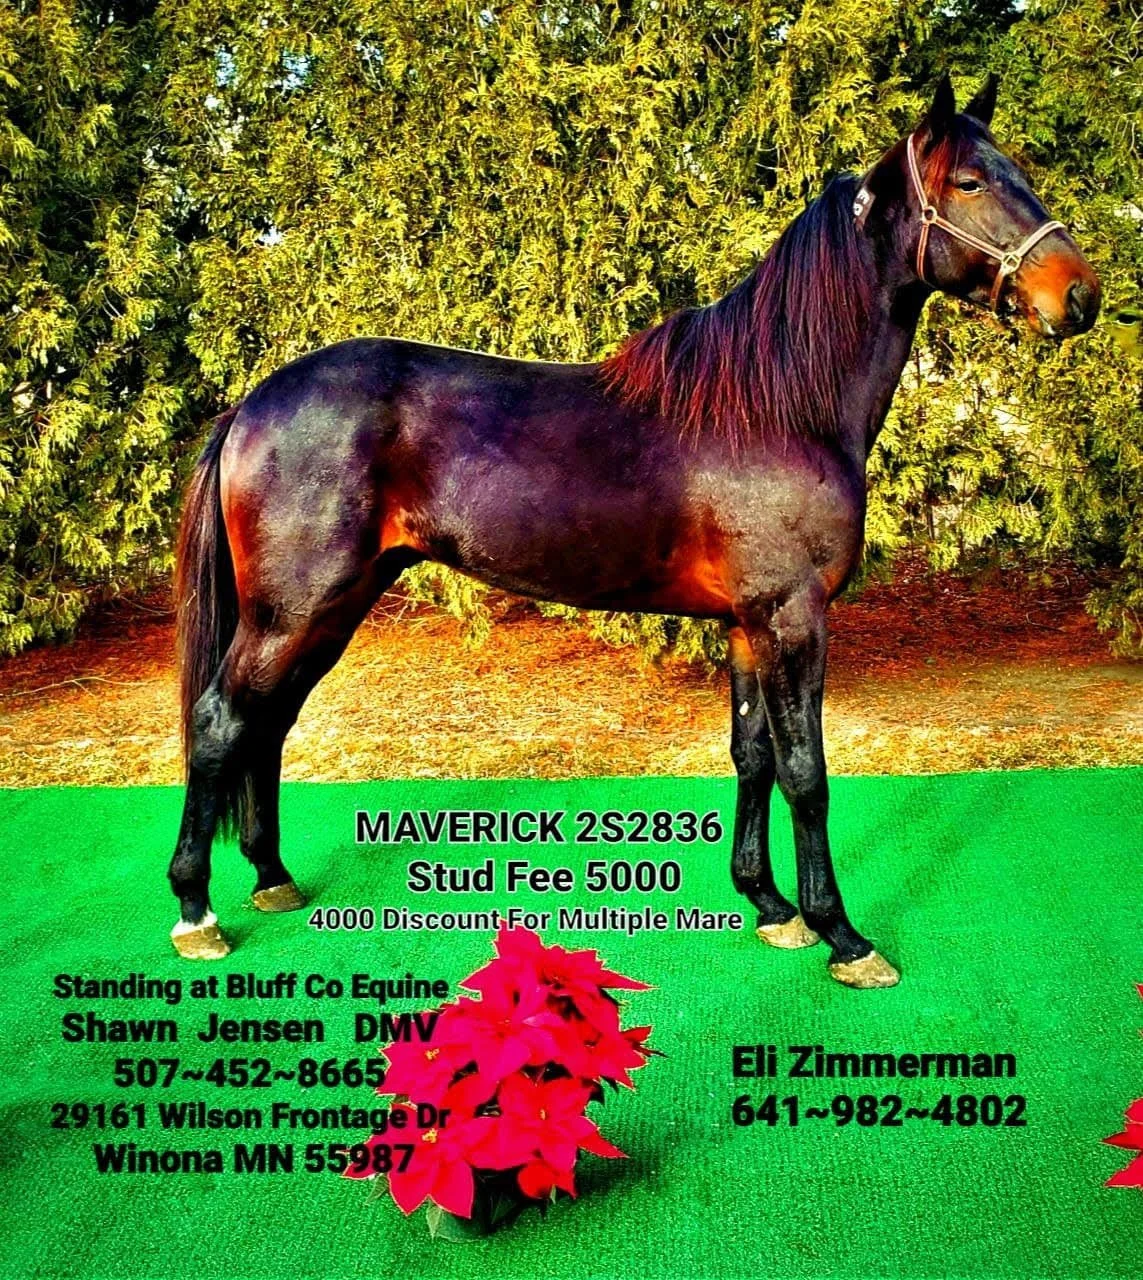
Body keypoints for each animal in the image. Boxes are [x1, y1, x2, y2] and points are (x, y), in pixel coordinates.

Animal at [168, 74, 1099, 986]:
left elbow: (752, 754)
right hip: (292, 611)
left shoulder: (746, 625)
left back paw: (273, 877)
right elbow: (807, 772)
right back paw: (196, 914)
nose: (1080, 295)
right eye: (970, 182)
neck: (778, 404)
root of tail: (253, 403)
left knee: (267, 724)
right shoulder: (792, 617)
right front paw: (841, 936)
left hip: (329, 608)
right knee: (220, 719)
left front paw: (770, 909)